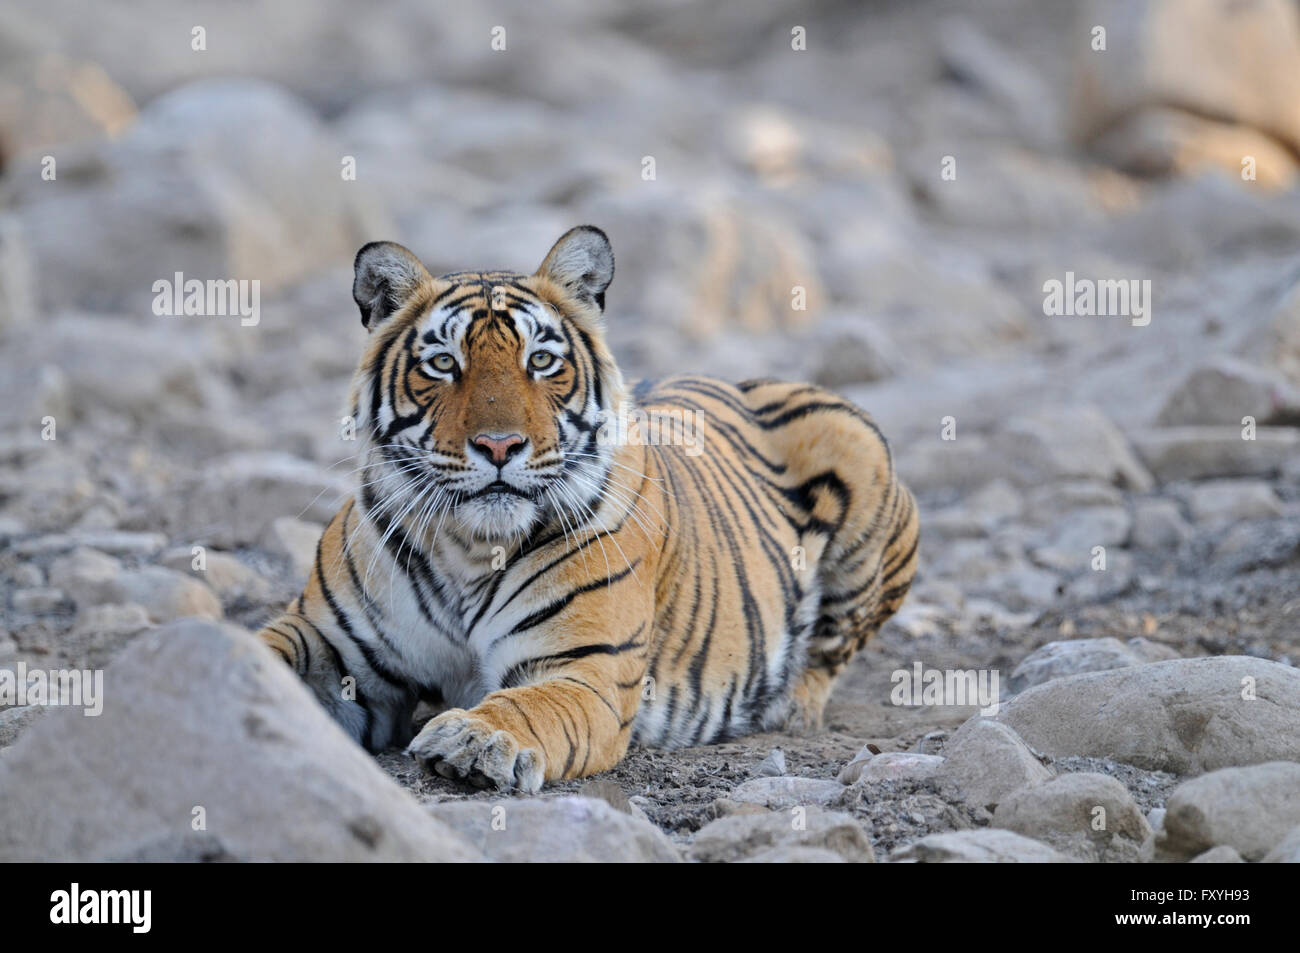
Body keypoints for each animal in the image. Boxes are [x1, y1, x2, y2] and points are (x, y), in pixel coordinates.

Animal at [257, 226, 919, 794]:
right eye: (443, 363)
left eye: (541, 361)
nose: (499, 446)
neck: (469, 547)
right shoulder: (331, 642)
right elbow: (265, 652)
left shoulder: (582, 668)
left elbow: (533, 705)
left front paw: (473, 738)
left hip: (857, 449)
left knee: (826, 657)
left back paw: (781, 704)